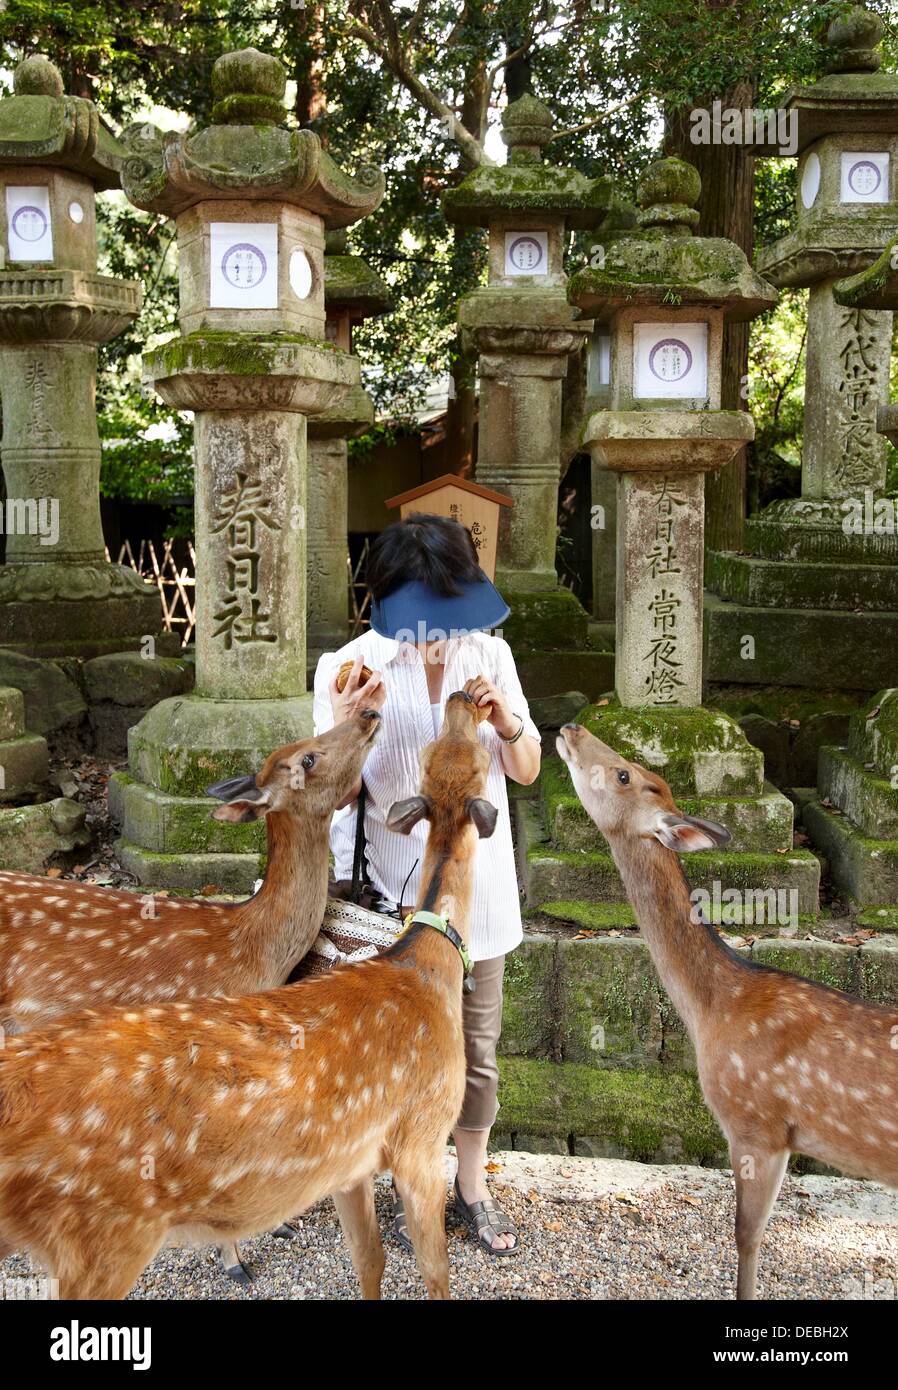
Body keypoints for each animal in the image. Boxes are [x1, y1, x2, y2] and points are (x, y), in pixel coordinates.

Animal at [557, 723, 898, 1300]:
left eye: (624, 775)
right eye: (641, 772)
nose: (571, 727)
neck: (714, 1009)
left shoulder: (756, 1123)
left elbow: (746, 1237)